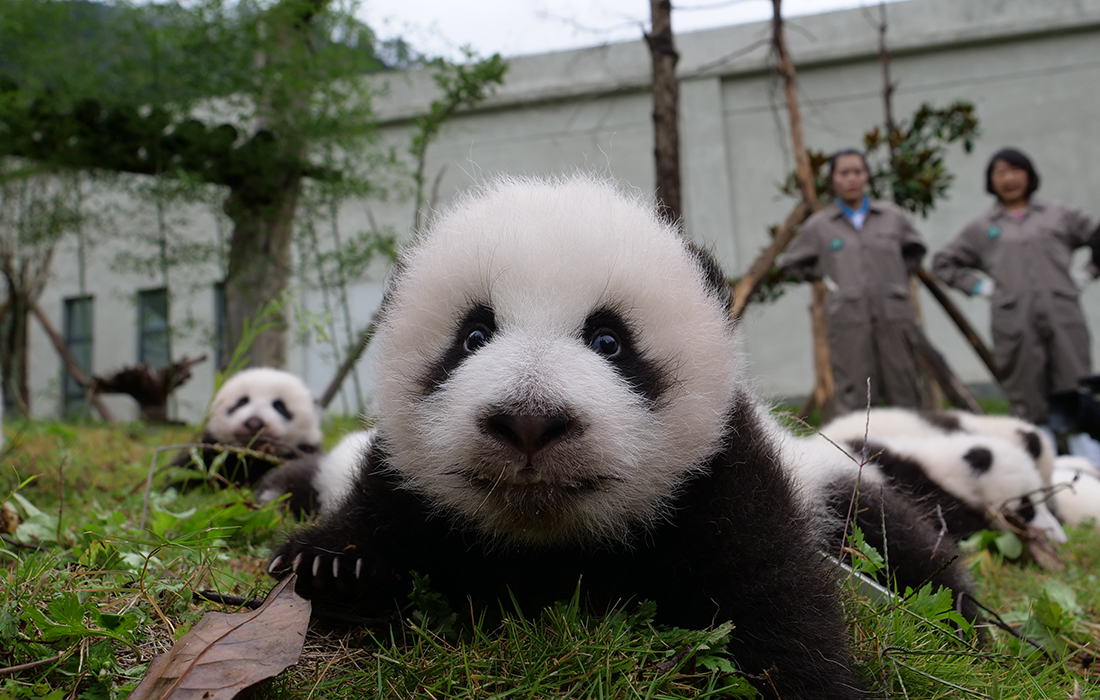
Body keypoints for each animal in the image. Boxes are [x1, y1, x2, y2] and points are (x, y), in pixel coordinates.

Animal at [171, 368, 322, 487]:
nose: (254, 423)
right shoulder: (210, 447)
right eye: (242, 401)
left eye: (280, 406)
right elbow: (185, 469)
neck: (251, 455)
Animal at [268, 176, 867, 699]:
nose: (529, 421)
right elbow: (373, 518)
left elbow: (774, 598)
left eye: (609, 341)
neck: (551, 544)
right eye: (473, 336)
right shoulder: (403, 478)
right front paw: (331, 569)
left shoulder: (721, 477)